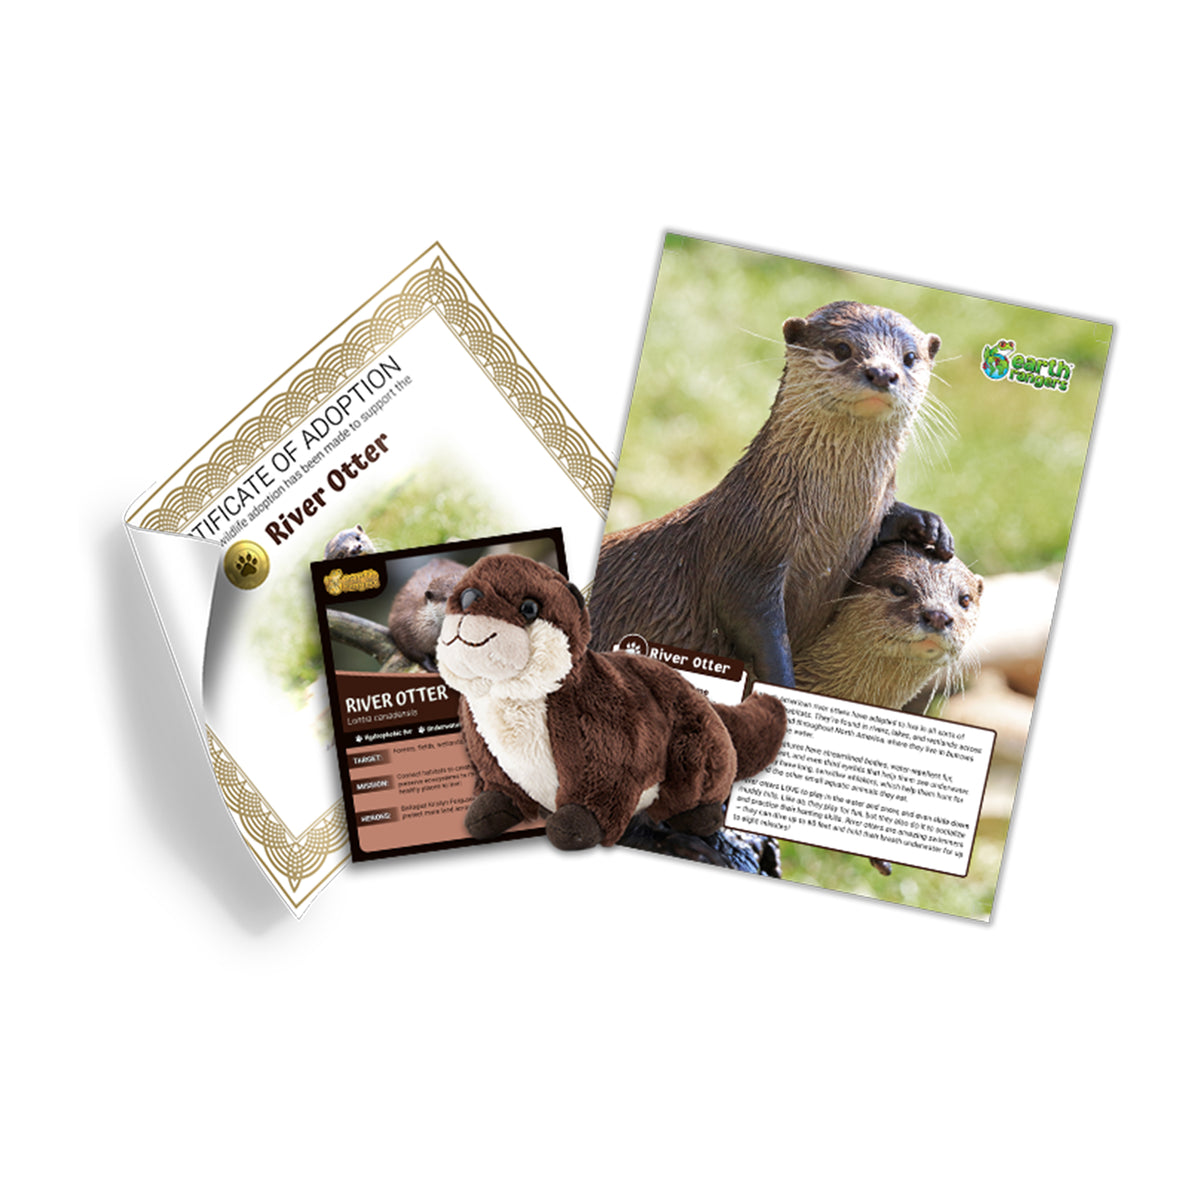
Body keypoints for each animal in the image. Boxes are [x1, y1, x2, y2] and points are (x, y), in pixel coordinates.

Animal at [589, 301, 951, 687]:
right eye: (842, 348)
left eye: (909, 357)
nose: (883, 372)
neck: (825, 525)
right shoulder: (745, 554)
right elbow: (759, 629)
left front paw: (925, 525)